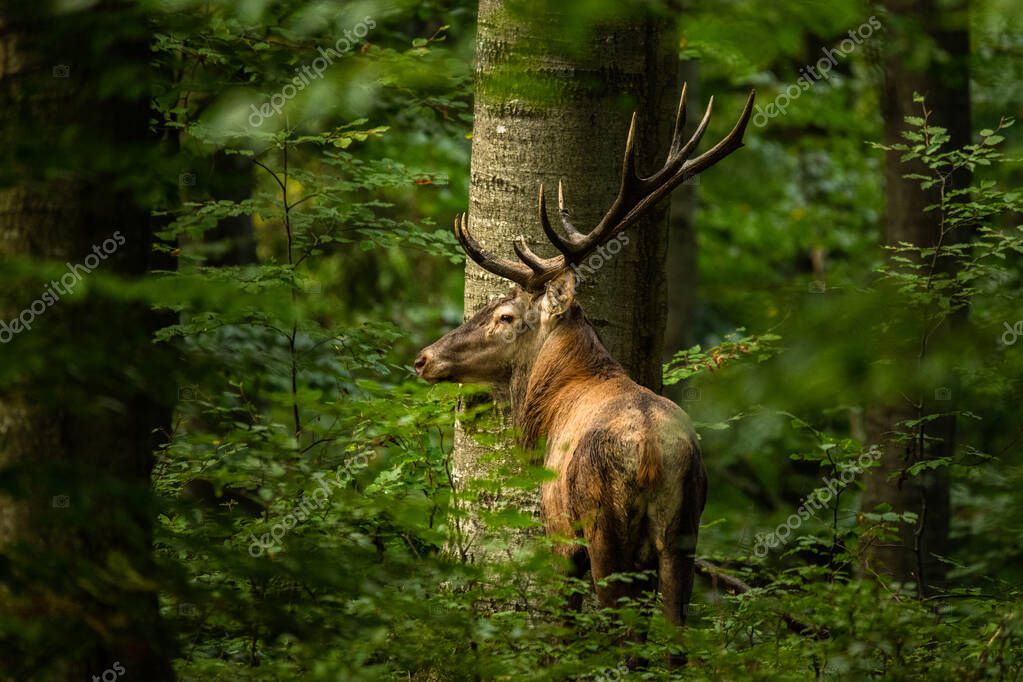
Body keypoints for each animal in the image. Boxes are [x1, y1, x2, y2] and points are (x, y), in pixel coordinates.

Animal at [415, 83, 755, 637]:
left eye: (505, 316)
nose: (423, 358)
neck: (550, 409)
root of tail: (656, 456)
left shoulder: (559, 529)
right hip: (683, 533)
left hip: (604, 528)